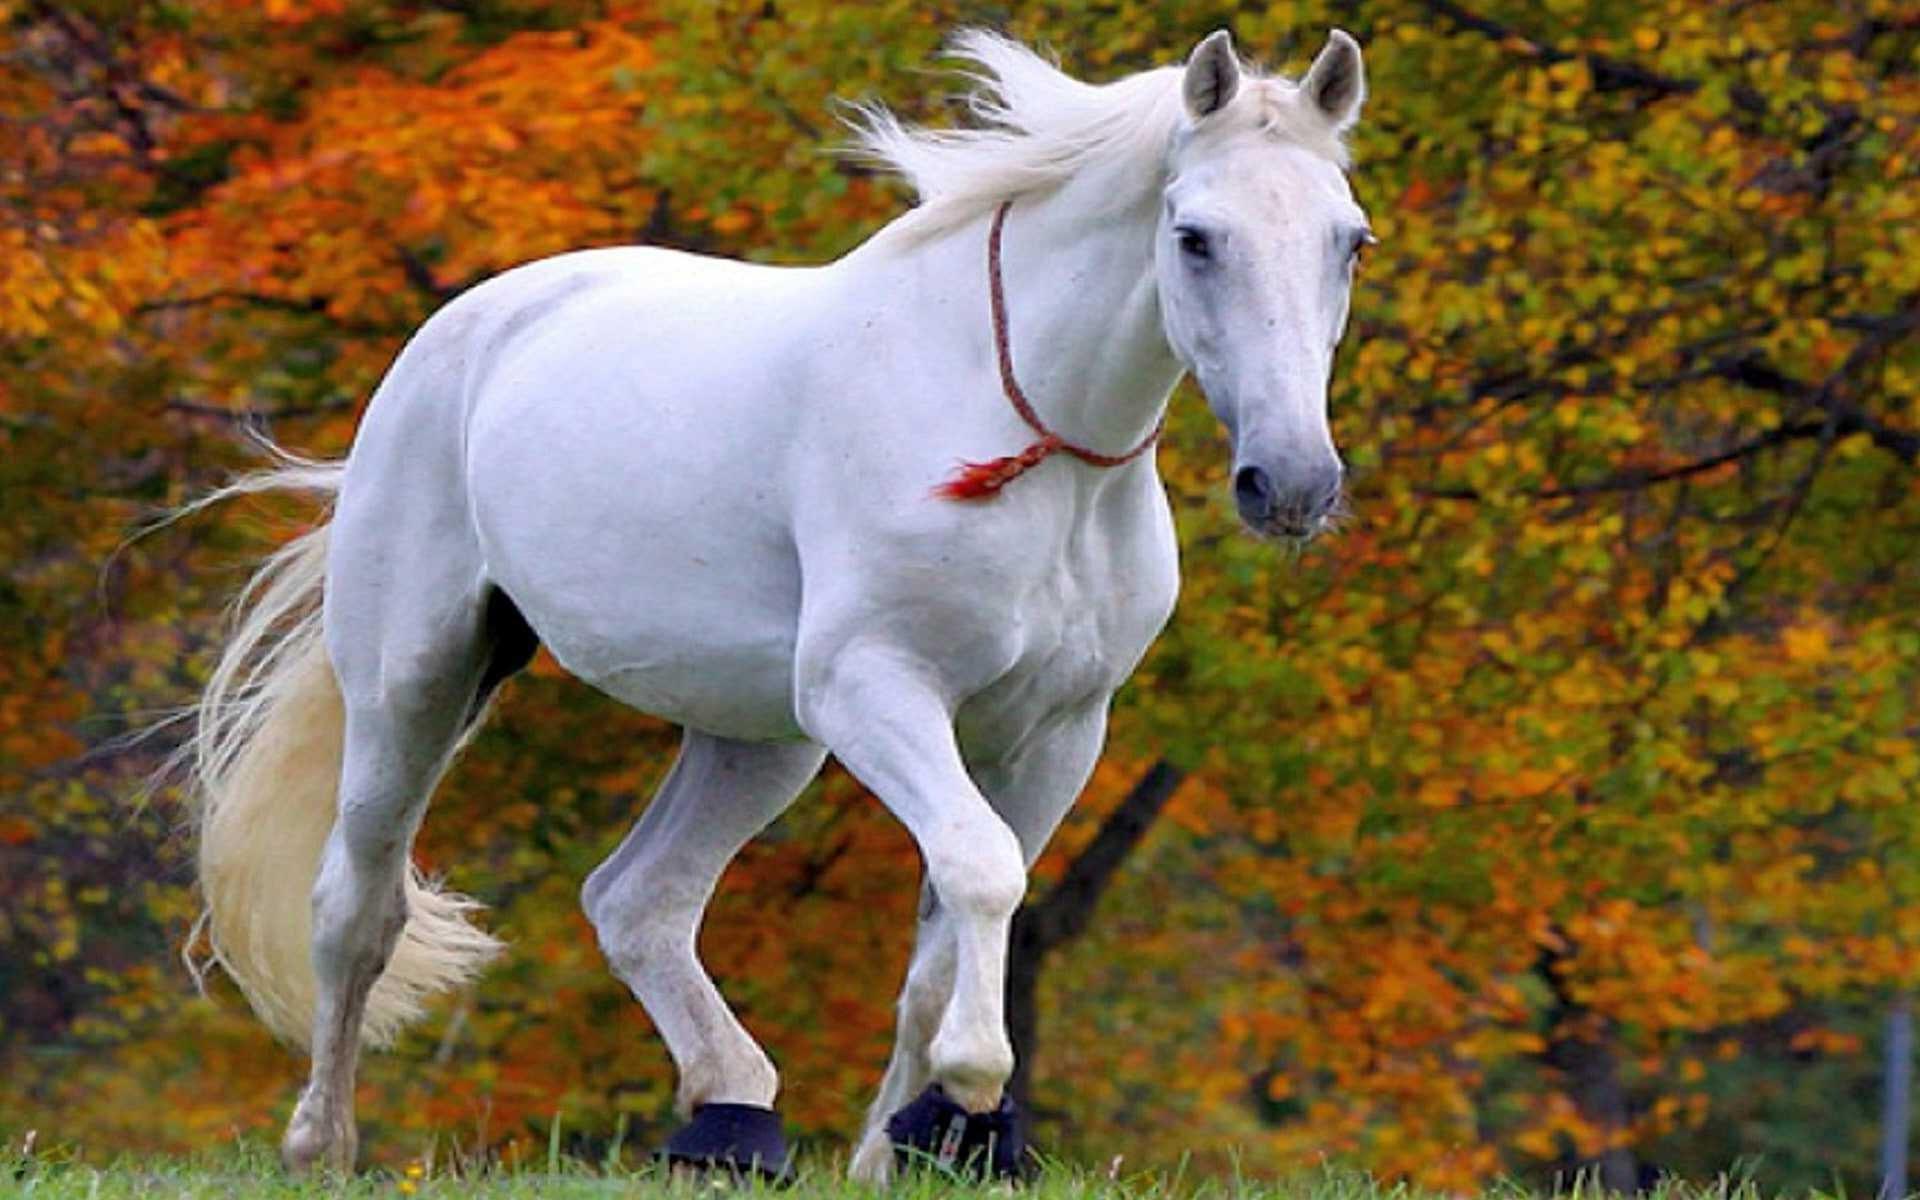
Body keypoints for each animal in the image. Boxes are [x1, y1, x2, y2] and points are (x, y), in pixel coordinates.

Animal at [183, 26, 1370, 1181]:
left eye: (1349, 240)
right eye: (1196, 237)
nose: (1292, 484)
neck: (1021, 434)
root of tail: (468, 326)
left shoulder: (1058, 732)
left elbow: (943, 937)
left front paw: (905, 1148)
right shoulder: (875, 689)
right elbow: (981, 867)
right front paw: (973, 1083)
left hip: (755, 738)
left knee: (639, 902)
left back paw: (734, 1121)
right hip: (418, 685)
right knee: (358, 905)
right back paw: (322, 1145)